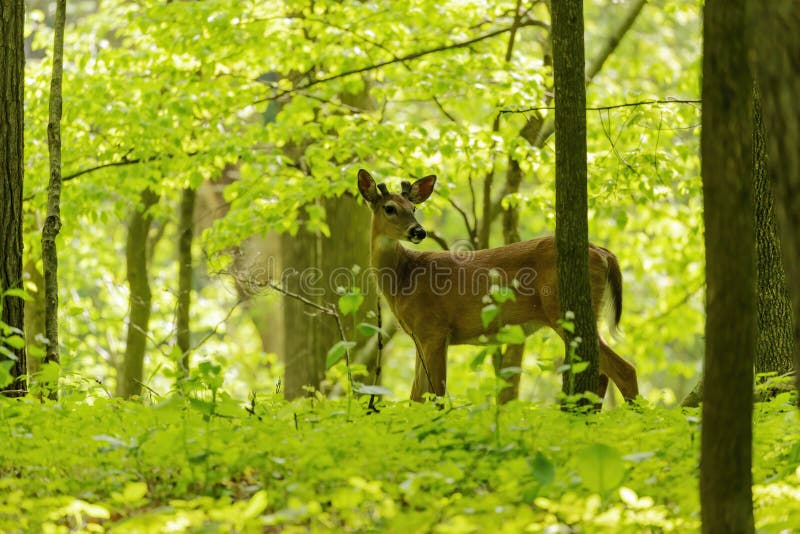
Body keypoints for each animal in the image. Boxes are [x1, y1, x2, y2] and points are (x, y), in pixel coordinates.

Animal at [357, 168, 639, 404]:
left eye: (414, 207)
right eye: (389, 208)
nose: (419, 231)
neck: (404, 278)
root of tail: (604, 253)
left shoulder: (435, 329)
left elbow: (435, 395)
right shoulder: (420, 336)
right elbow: (416, 396)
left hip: (564, 310)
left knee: (624, 369)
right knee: (603, 373)